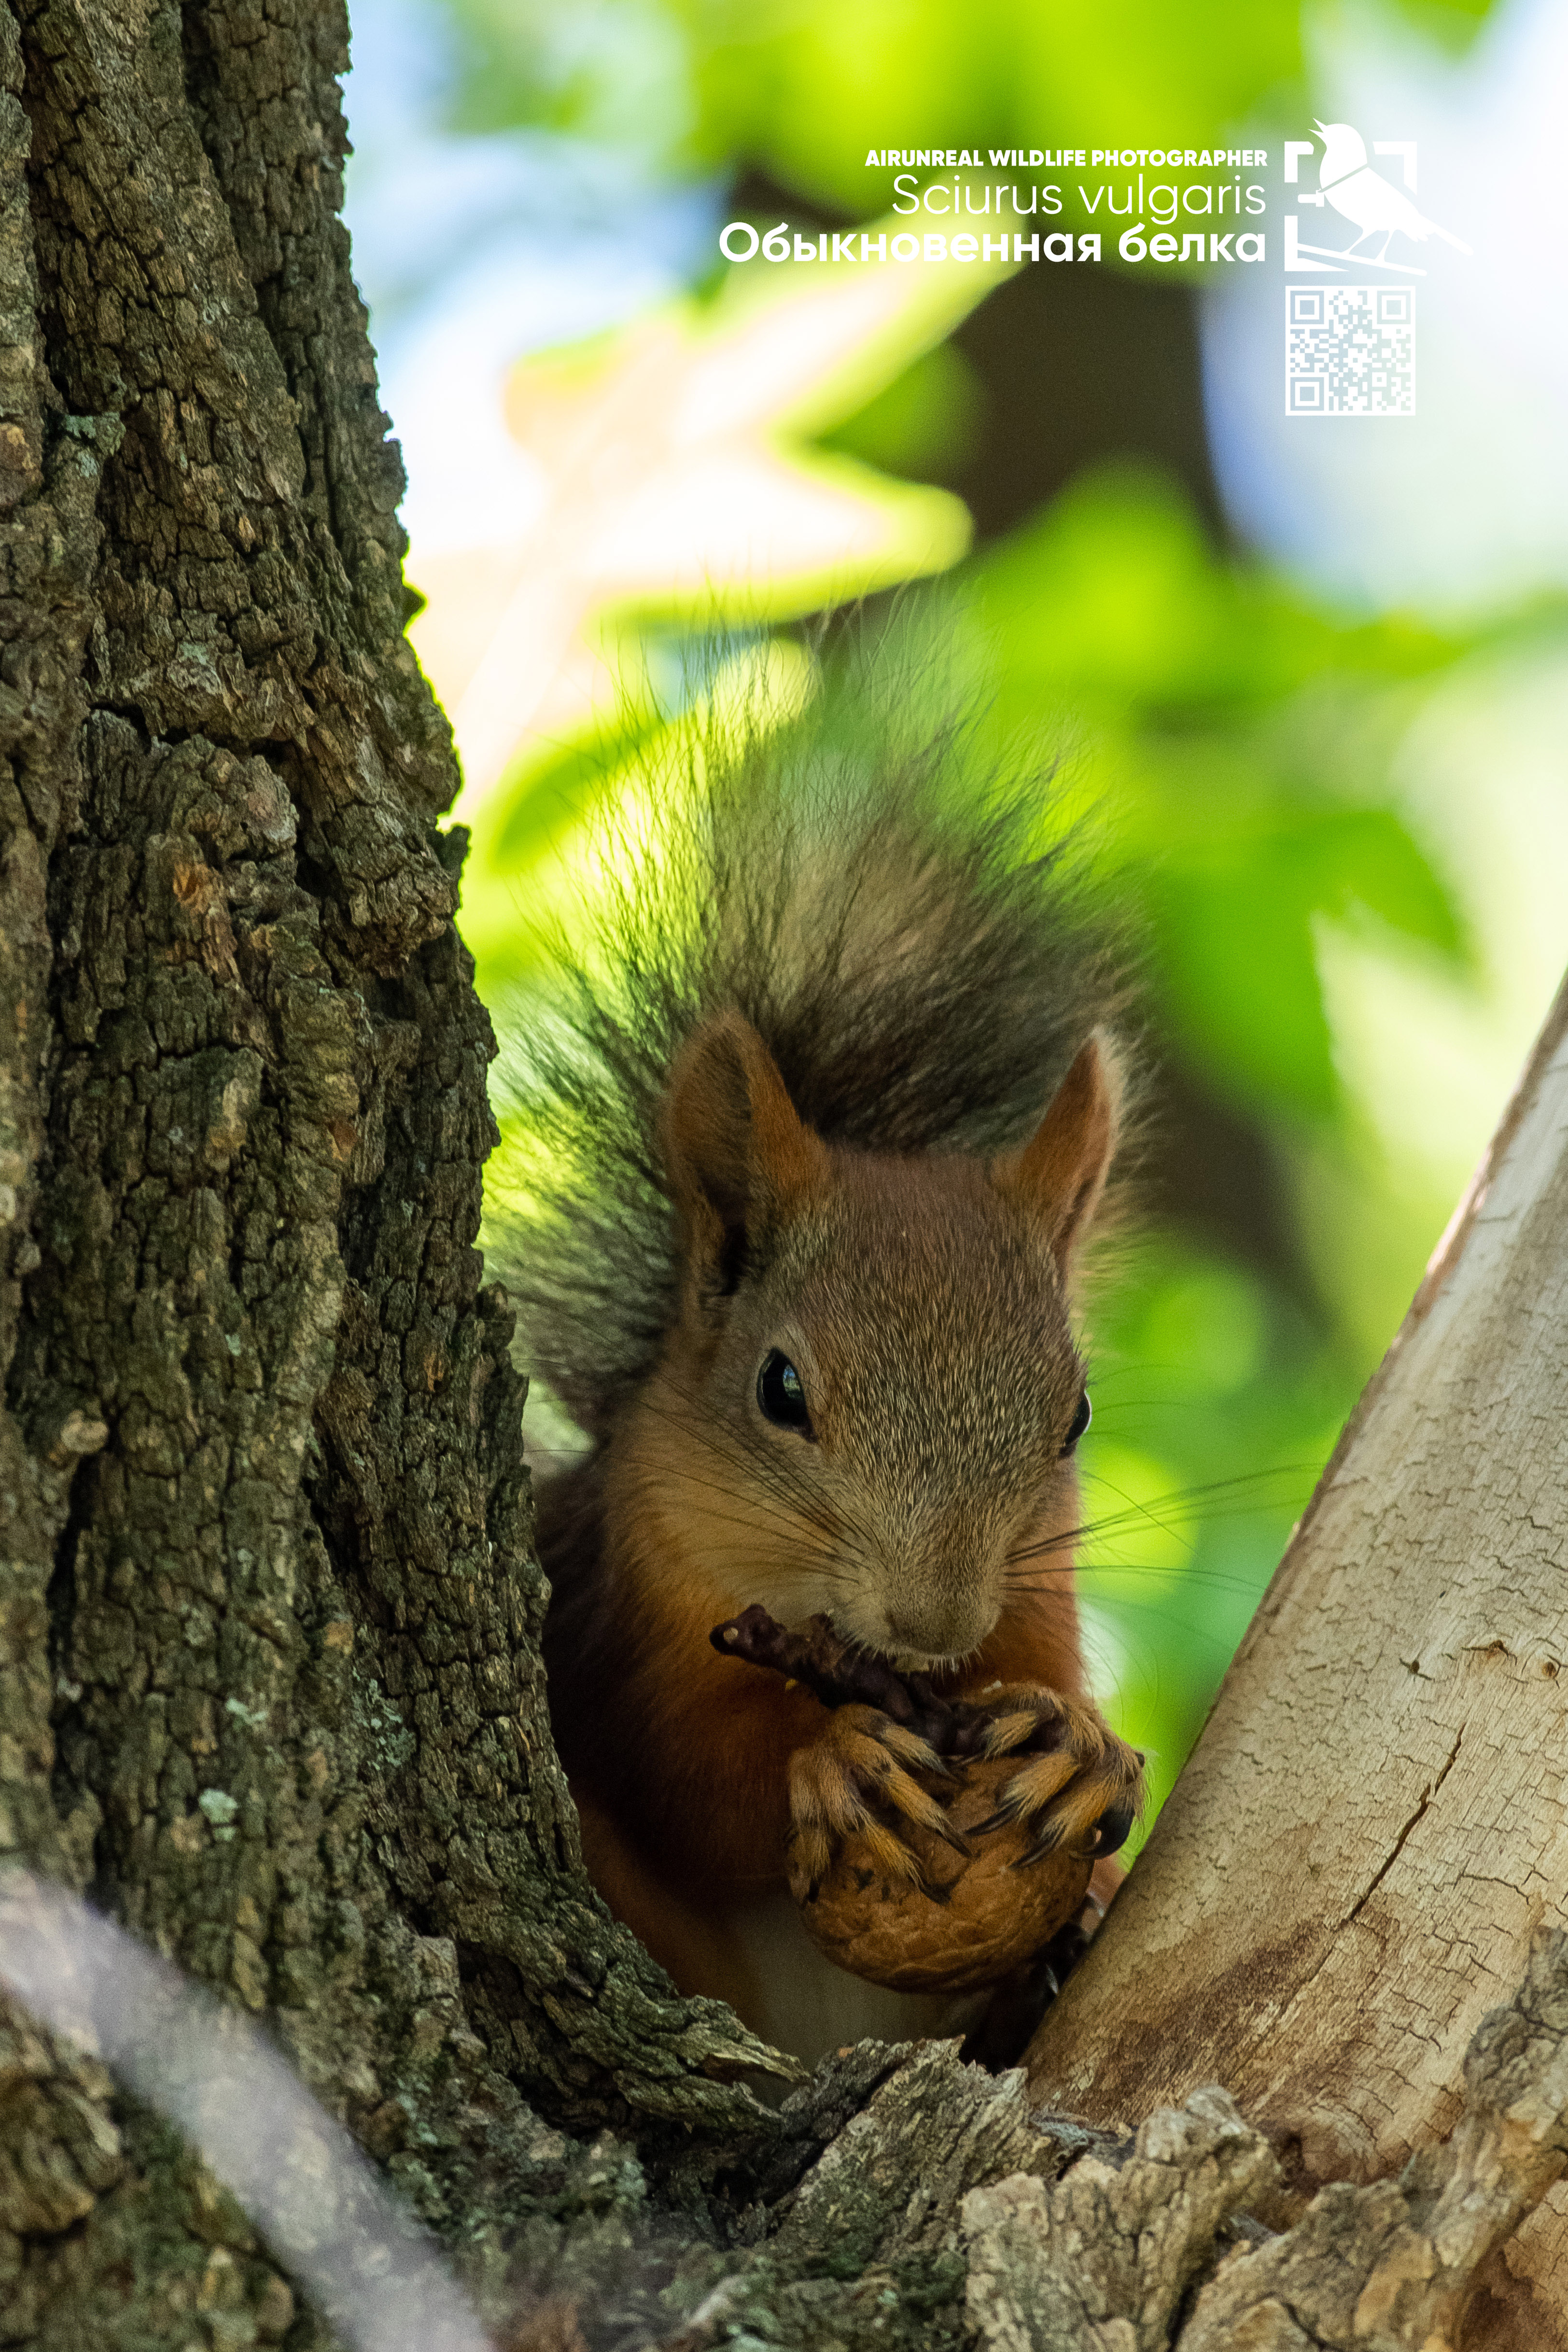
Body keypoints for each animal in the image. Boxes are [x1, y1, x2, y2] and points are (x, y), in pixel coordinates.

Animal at [496, 654, 1147, 2070]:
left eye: (1076, 1416)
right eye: (779, 1391)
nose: (933, 1623)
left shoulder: (1038, 1603)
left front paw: (1081, 1748)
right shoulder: (631, 1613)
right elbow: (689, 1786)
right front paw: (832, 1764)